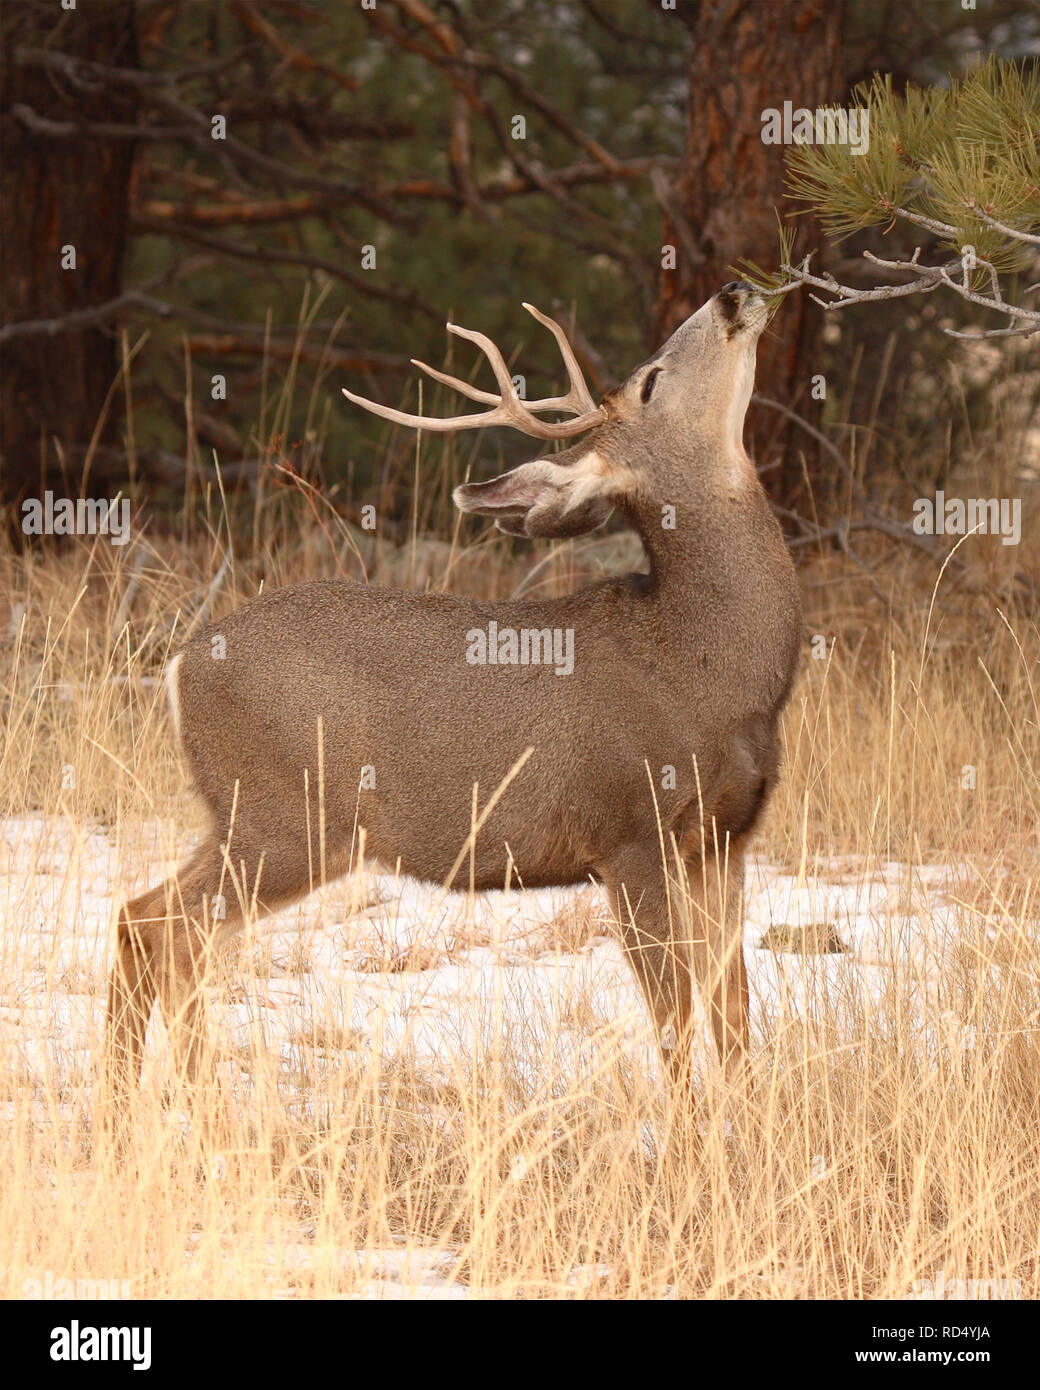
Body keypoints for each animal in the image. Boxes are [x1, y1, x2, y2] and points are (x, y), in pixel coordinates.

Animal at [105, 283, 802, 1127]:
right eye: (651, 381)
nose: (734, 294)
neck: (704, 665)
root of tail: (179, 666)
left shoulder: (726, 841)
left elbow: (734, 1015)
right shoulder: (628, 829)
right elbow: (674, 1017)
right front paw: (691, 1145)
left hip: (250, 818)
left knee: (161, 929)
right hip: (282, 814)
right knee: (156, 924)